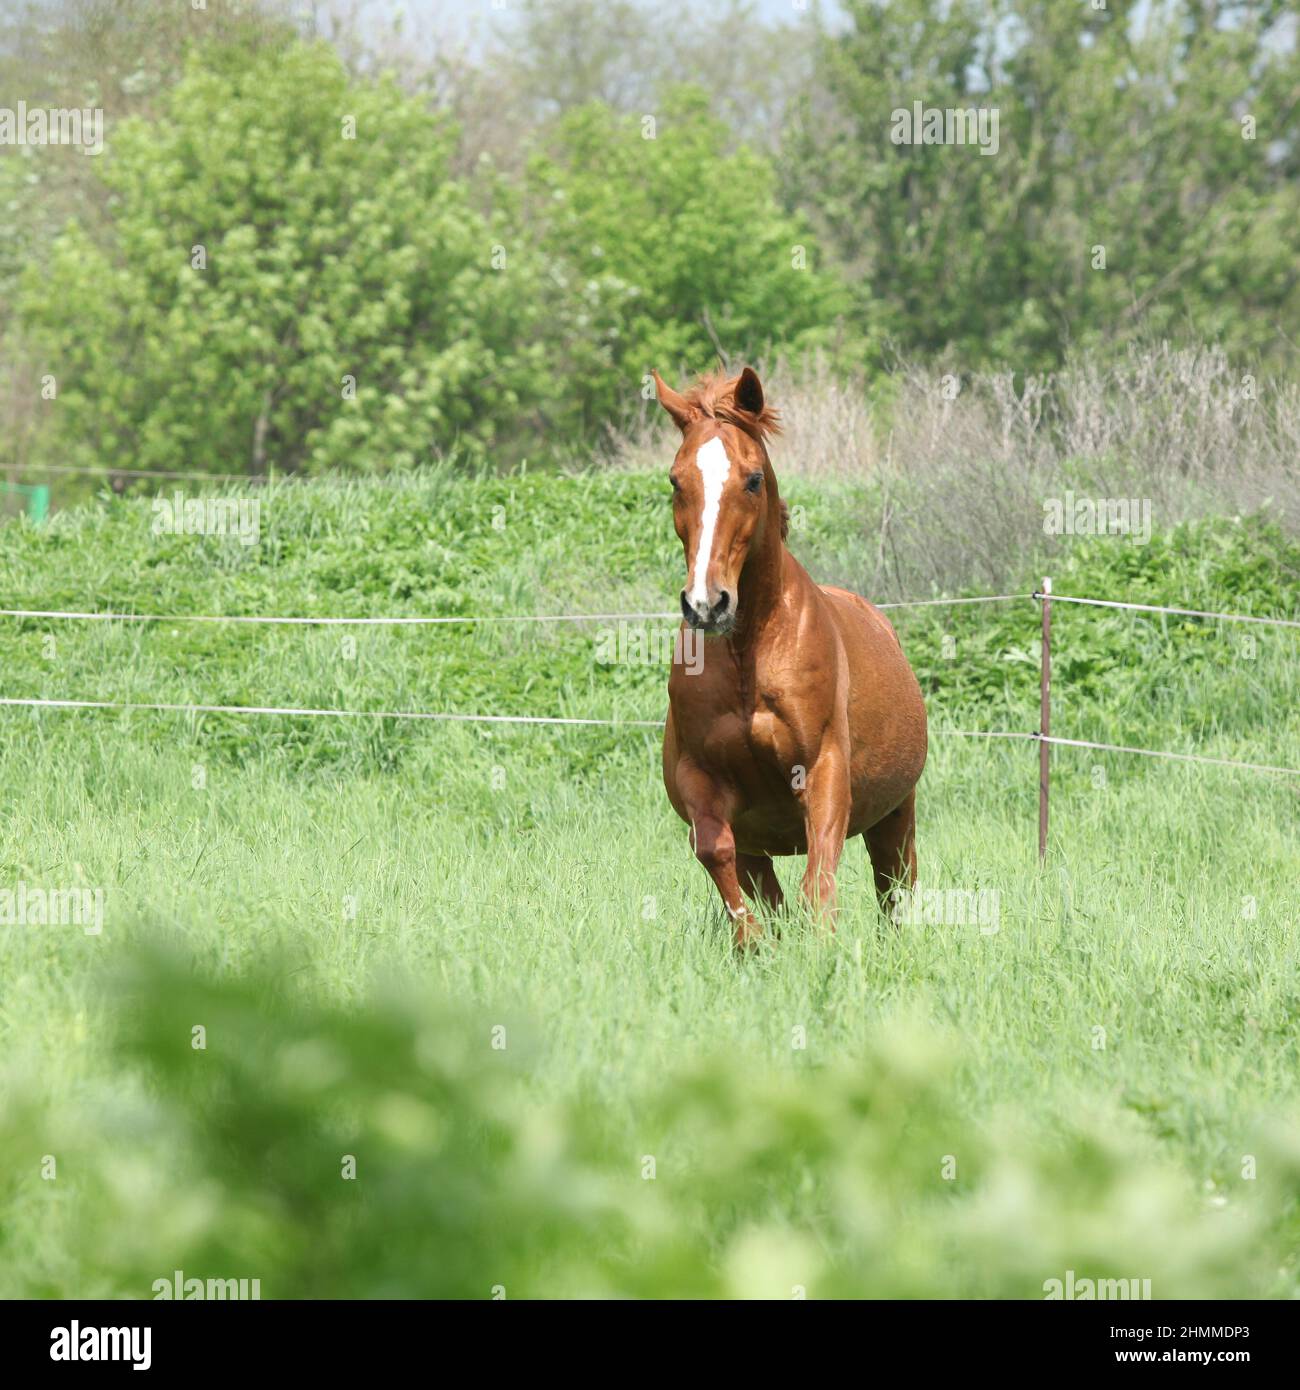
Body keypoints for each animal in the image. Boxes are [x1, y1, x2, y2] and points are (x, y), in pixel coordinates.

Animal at [656, 366, 927, 950]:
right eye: (675, 480)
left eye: (753, 479)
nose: (707, 603)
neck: (748, 656)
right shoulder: (702, 781)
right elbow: (717, 854)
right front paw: (753, 945)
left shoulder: (823, 771)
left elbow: (819, 874)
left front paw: (822, 950)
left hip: (895, 813)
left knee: (893, 887)